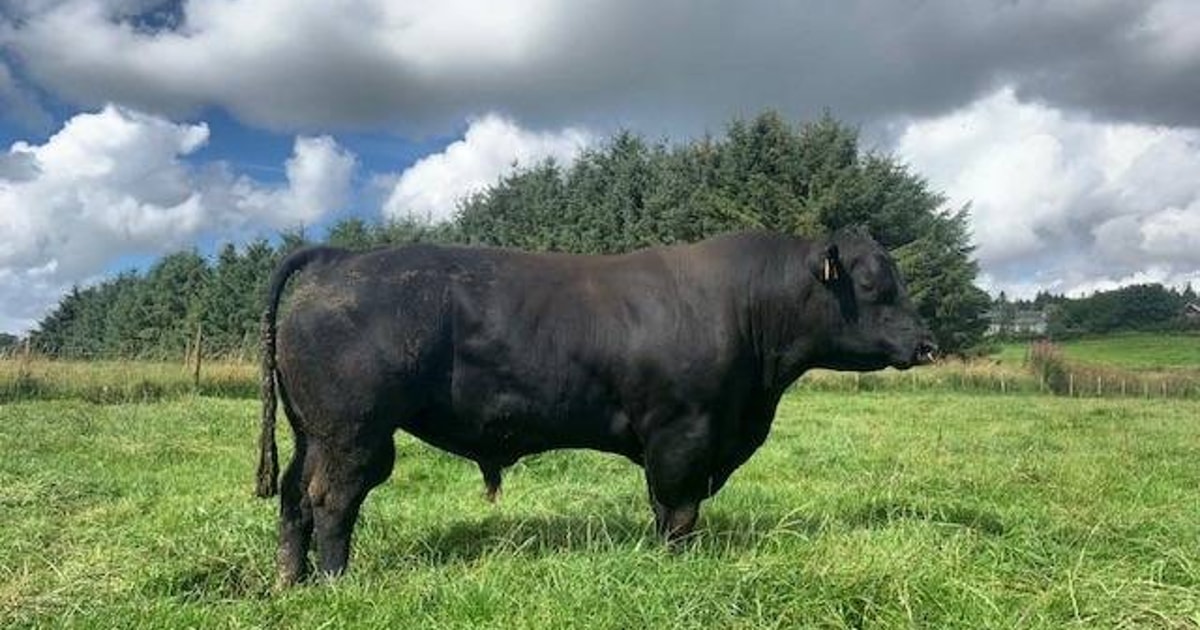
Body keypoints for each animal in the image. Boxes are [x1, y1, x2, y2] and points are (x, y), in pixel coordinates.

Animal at [254, 229, 936, 584]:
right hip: (356, 434)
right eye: (872, 284)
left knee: (294, 498)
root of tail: (341, 258)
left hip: (312, 431)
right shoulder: (682, 434)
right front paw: (676, 567)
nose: (928, 343)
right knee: (333, 500)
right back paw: (338, 582)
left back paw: (292, 581)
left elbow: (666, 508)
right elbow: (678, 511)